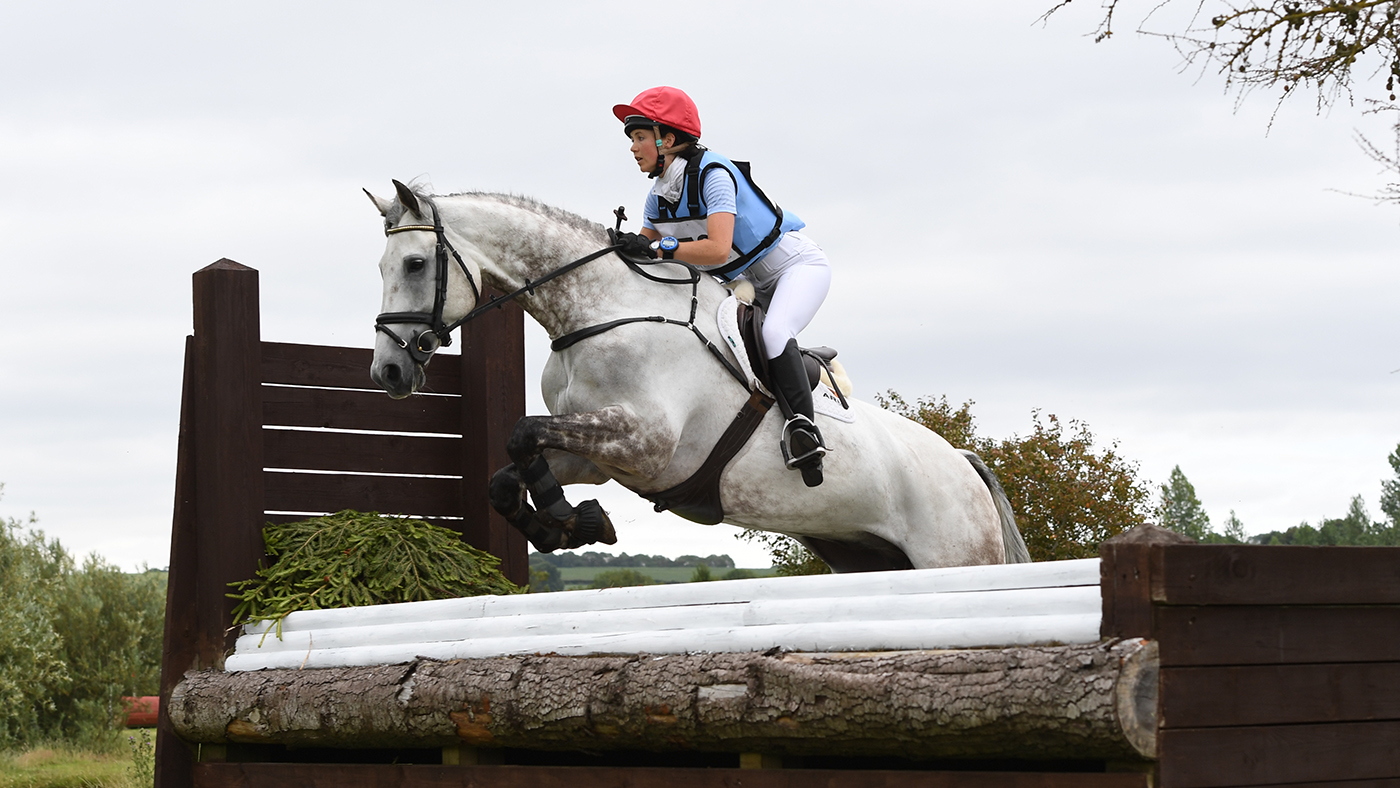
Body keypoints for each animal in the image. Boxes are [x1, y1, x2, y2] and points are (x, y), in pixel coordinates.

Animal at [364, 181, 1030, 572]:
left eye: (416, 263)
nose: (389, 370)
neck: (600, 312)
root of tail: (963, 462)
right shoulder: (600, 452)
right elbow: (509, 471)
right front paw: (573, 524)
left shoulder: (645, 442)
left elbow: (522, 433)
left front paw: (571, 519)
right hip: (866, 556)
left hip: (953, 557)